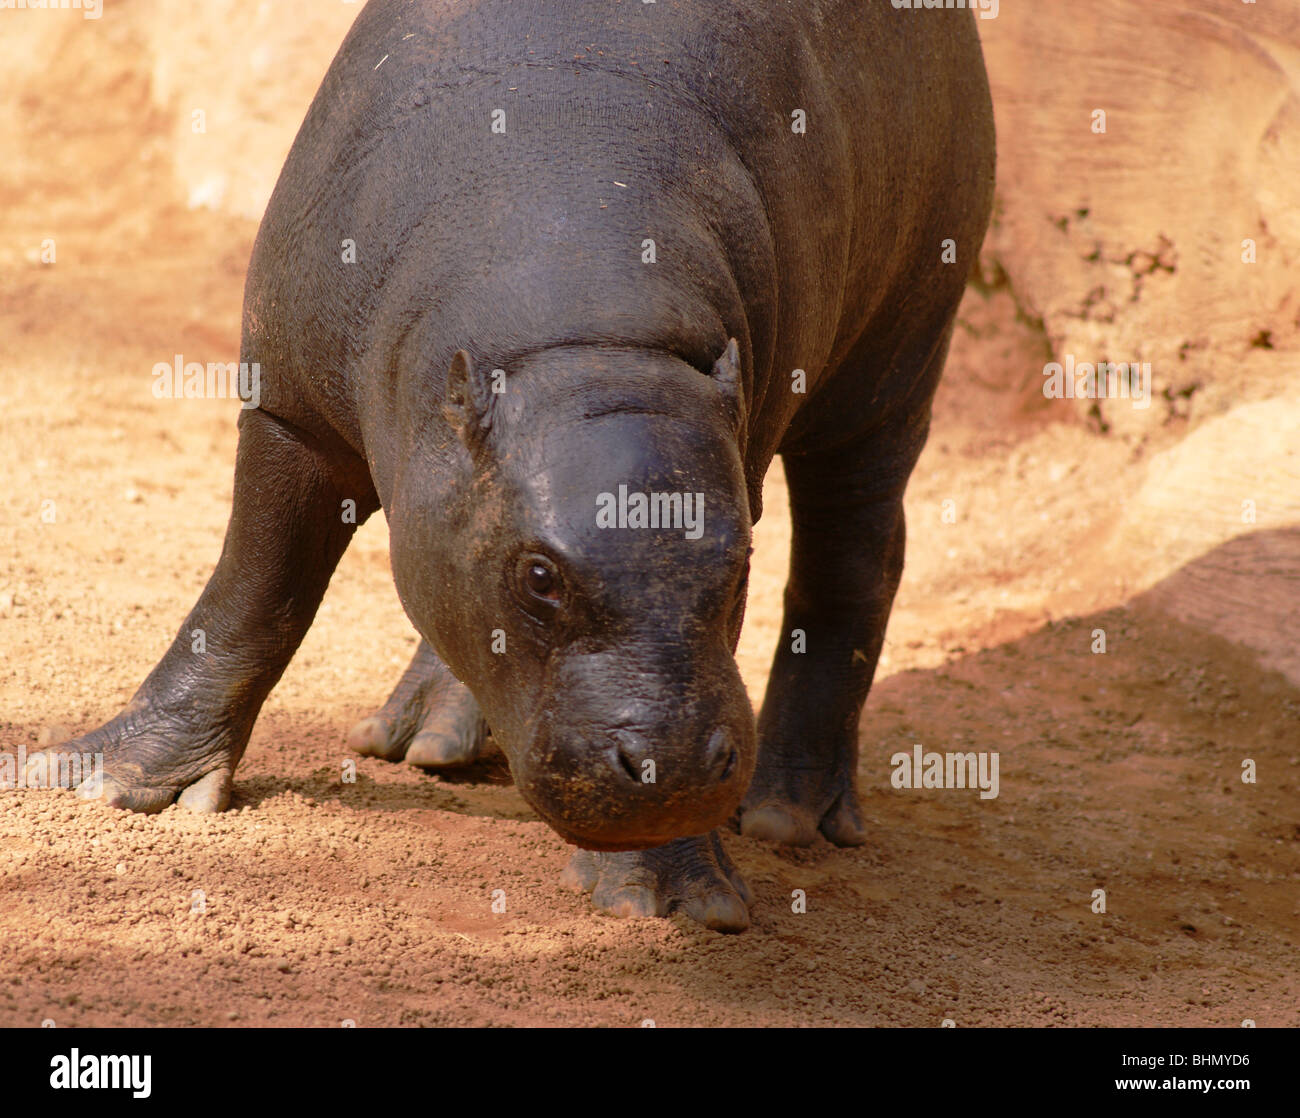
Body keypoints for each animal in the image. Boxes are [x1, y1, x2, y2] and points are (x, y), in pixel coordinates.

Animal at [23, 0, 994, 931]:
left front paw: (677, 895)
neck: (582, 318)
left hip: (902, 349)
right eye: (538, 576)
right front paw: (101, 780)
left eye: (741, 561)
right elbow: (251, 592)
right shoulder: (288, 410)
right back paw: (426, 739)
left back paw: (788, 815)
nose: (675, 771)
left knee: (855, 556)